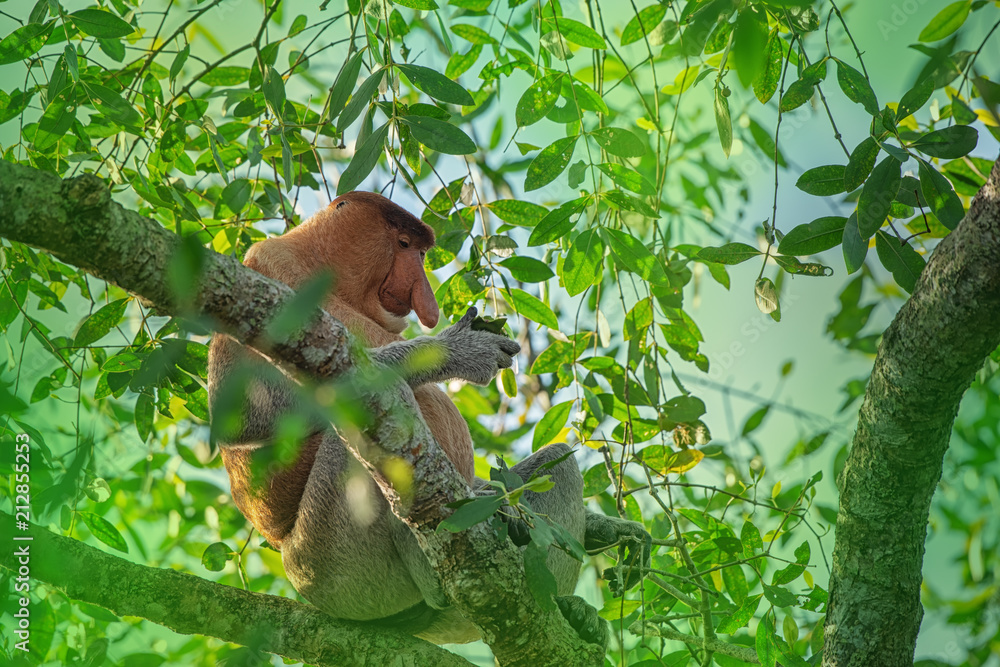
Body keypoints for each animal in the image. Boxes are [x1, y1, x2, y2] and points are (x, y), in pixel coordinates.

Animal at [207, 191, 650, 646]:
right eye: (404, 245)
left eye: (421, 253)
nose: (424, 296)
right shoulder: (267, 266)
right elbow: (250, 419)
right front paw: (461, 348)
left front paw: (614, 530)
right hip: (334, 569)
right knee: (372, 415)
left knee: (555, 465)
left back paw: (562, 606)